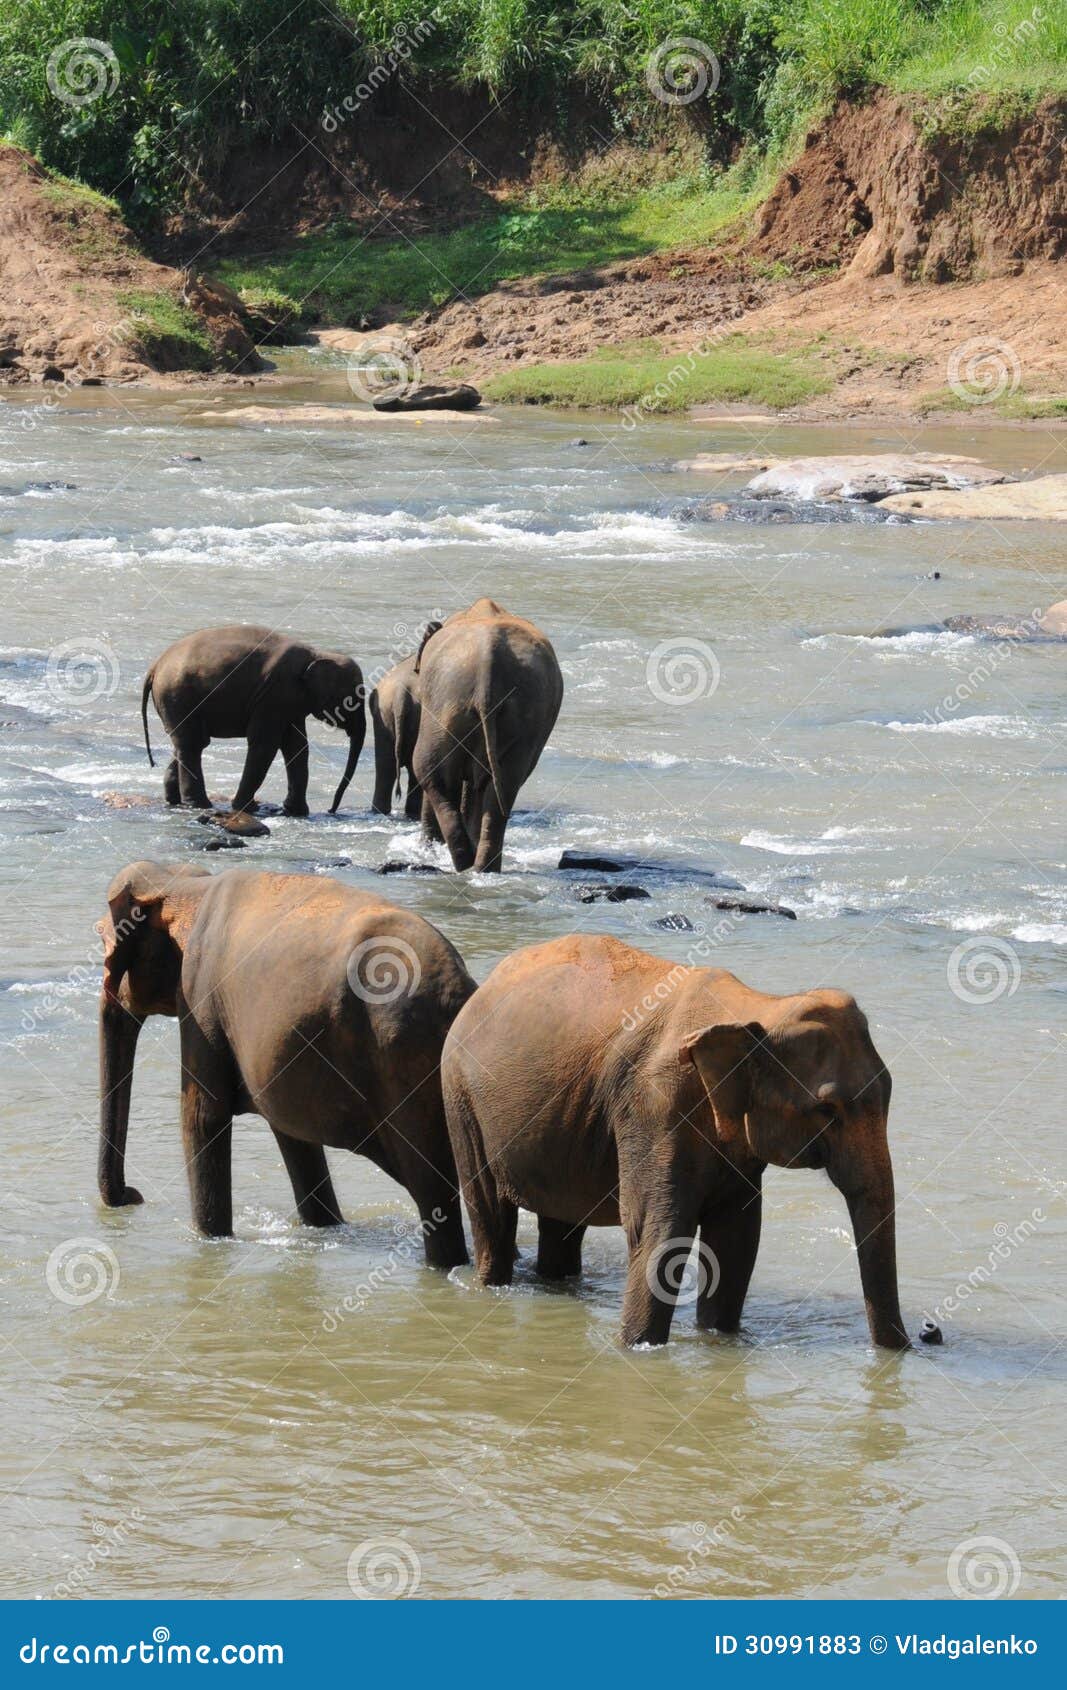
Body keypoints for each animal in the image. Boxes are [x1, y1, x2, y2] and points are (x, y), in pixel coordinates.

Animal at [98, 859, 473, 1266]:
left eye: (102, 943)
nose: (132, 1196)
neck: (186, 884)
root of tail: (458, 990)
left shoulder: (200, 997)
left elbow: (202, 1118)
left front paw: (210, 1237)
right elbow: (293, 1137)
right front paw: (323, 1227)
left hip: (402, 1059)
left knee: (431, 1190)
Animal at [141, 625, 366, 816]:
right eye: (352, 700)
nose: (331, 810)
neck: (318, 654)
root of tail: (155, 666)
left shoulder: (290, 702)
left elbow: (297, 746)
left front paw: (296, 812)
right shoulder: (275, 693)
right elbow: (265, 745)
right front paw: (247, 808)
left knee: (187, 744)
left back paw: (175, 801)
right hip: (177, 697)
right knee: (192, 745)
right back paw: (199, 805)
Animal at [412, 598, 563, 872]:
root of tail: (488, 662)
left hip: (445, 703)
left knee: (430, 773)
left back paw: (463, 864)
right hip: (524, 717)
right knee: (503, 787)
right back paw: (480, 867)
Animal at [442, 935, 912, 1350]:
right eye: (828, 1110)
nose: (918, 1341)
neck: (758, 1006)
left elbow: (738, 1237)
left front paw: (717, 1340)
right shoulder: (654, 1107)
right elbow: (658, 1231)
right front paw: (638, 1348)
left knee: (561, 1220)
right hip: (459, 1096)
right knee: (489, 1208)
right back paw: (491, 1283)